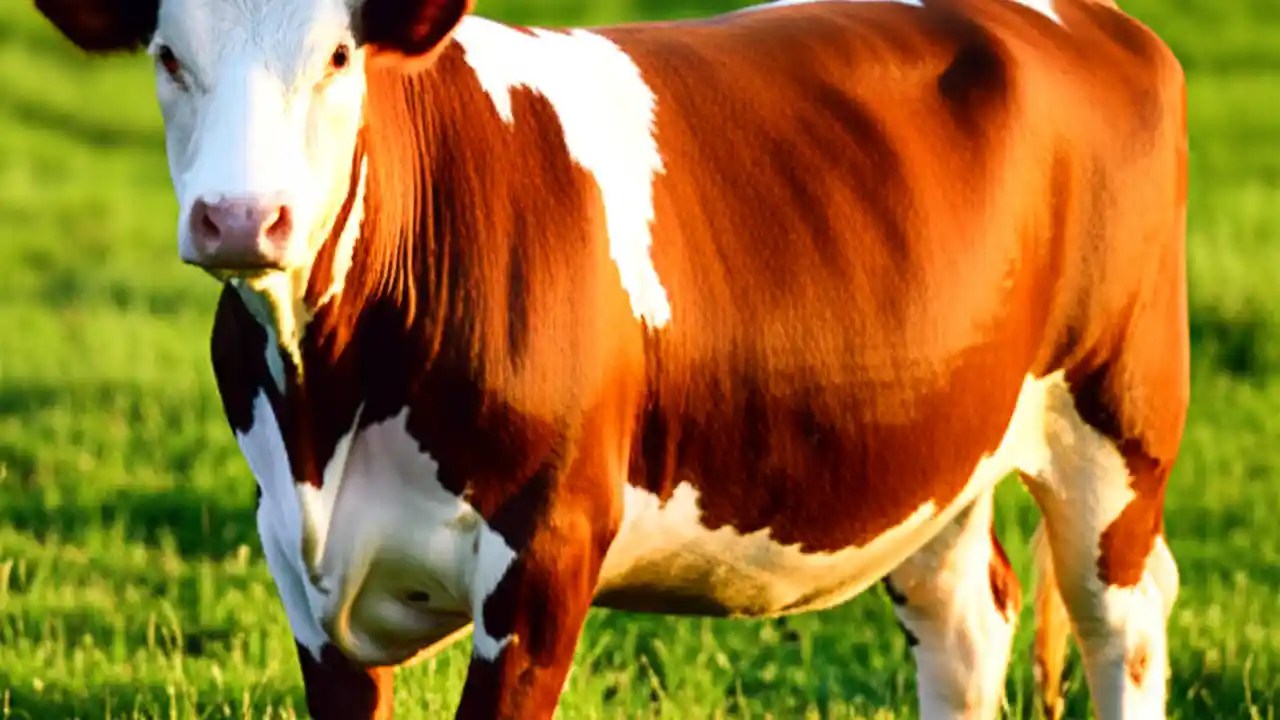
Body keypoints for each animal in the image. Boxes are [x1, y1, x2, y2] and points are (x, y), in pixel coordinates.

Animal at [35, 0, 1189, 716]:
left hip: (1117, 424)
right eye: (169, 57)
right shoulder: (300, 573)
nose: (239, 218)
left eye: (337, 57)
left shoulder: (544, 564)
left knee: (1121, 622)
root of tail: (1105, 25)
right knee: (965, 625)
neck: (330, 398)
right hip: (933, 447)